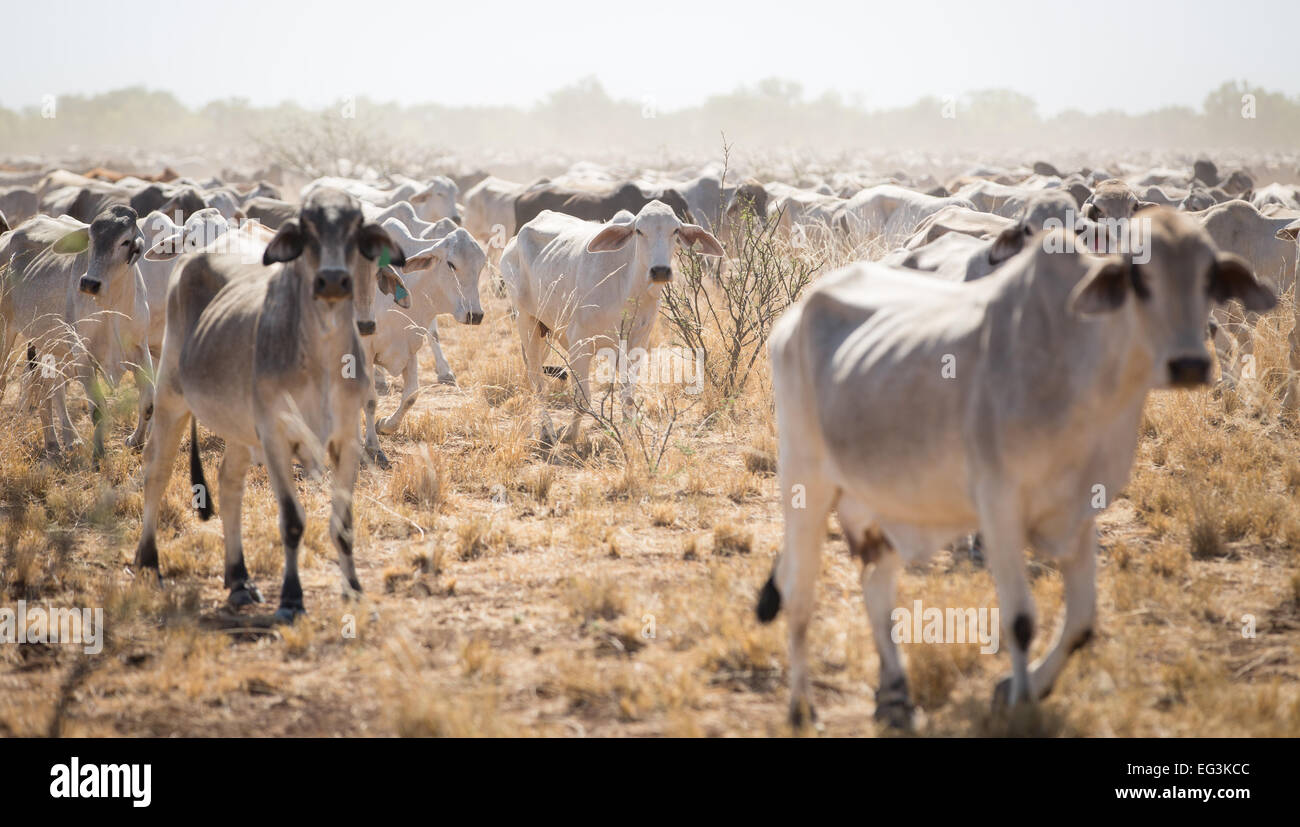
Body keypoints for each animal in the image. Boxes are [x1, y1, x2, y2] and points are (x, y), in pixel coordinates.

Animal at [130, 188, 407, 621]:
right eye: (307, 233)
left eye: (358, 239)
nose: (333, 281)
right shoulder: (275, 435)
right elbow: (291, 519)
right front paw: (292, 598)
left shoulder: (343, 439)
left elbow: (343, 521)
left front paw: (354, 590)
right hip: (172, 396)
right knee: (156, 469)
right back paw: (148, 562)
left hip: (239, 423)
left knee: (228, 481)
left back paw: (238, 579)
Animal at [500, 201, 723, 445]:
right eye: (639, 231)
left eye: (675, 230)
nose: (660, 271)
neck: (626, 288)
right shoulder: (580, 345)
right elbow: (583, 398)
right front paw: (570, 435)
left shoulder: (635, 347)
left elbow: (627, 397)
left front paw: (629, 439)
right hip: (527, 322)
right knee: (538, 383)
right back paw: (547, 430)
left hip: (546, 330)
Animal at [756, 208, 1275, 728]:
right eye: (1138, 277)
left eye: (1209, 277)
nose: (1190, 363)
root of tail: (797, 314)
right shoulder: (999, 505)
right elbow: (1021, 620)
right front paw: (1020, 705)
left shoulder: (1080, 512)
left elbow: (1082, 622)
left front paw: (1016, 689)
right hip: (805, 483)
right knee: (799, 594)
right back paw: (802, 707)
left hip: (880, 501)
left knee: (877, 587)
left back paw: (895, 696)